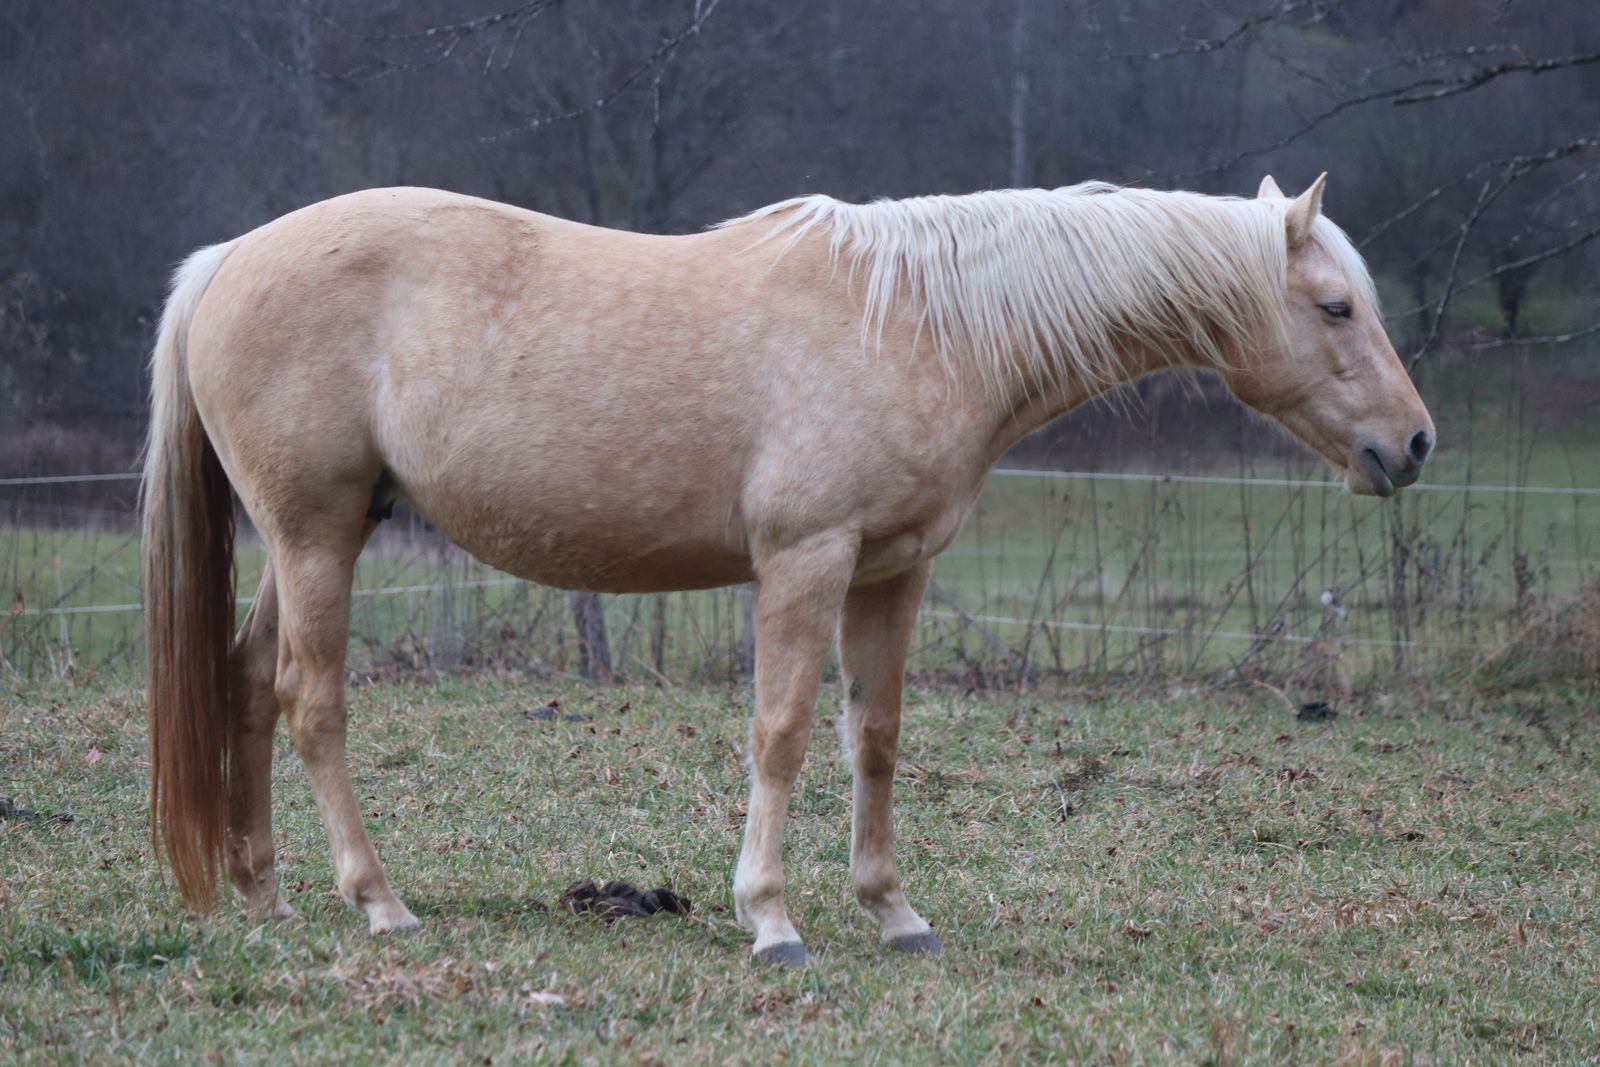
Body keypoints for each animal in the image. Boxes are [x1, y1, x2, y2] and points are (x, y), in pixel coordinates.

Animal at [141, 173, 1434, 965]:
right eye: (1334, 305)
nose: (1413, 444)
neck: (921, 321)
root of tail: (227, 258)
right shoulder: (804, 563)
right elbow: (782, 731)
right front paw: (770, 918)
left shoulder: (891, 572)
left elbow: (875, 738)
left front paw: (894, 911)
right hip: (316, 534)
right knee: (312, 701)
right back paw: (379, 901)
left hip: (317, 534)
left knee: (249, 682)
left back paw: (264, 890)